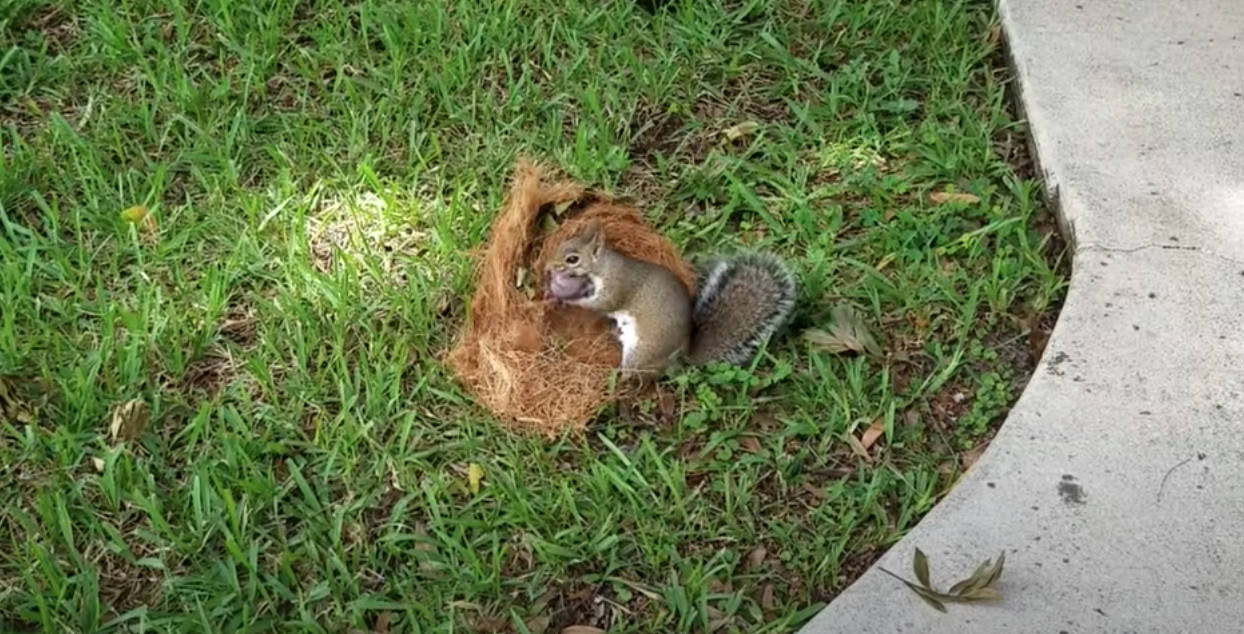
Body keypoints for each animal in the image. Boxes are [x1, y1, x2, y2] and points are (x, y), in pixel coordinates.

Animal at [544, 220, 797, 383]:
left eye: (572, 259)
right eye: (561, 246)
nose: (548, 267)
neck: (603, 266)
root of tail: (681, 357)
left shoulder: (617, 285)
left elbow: (603, 304)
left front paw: (566, 299)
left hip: (642, 350)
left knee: (635, 375)